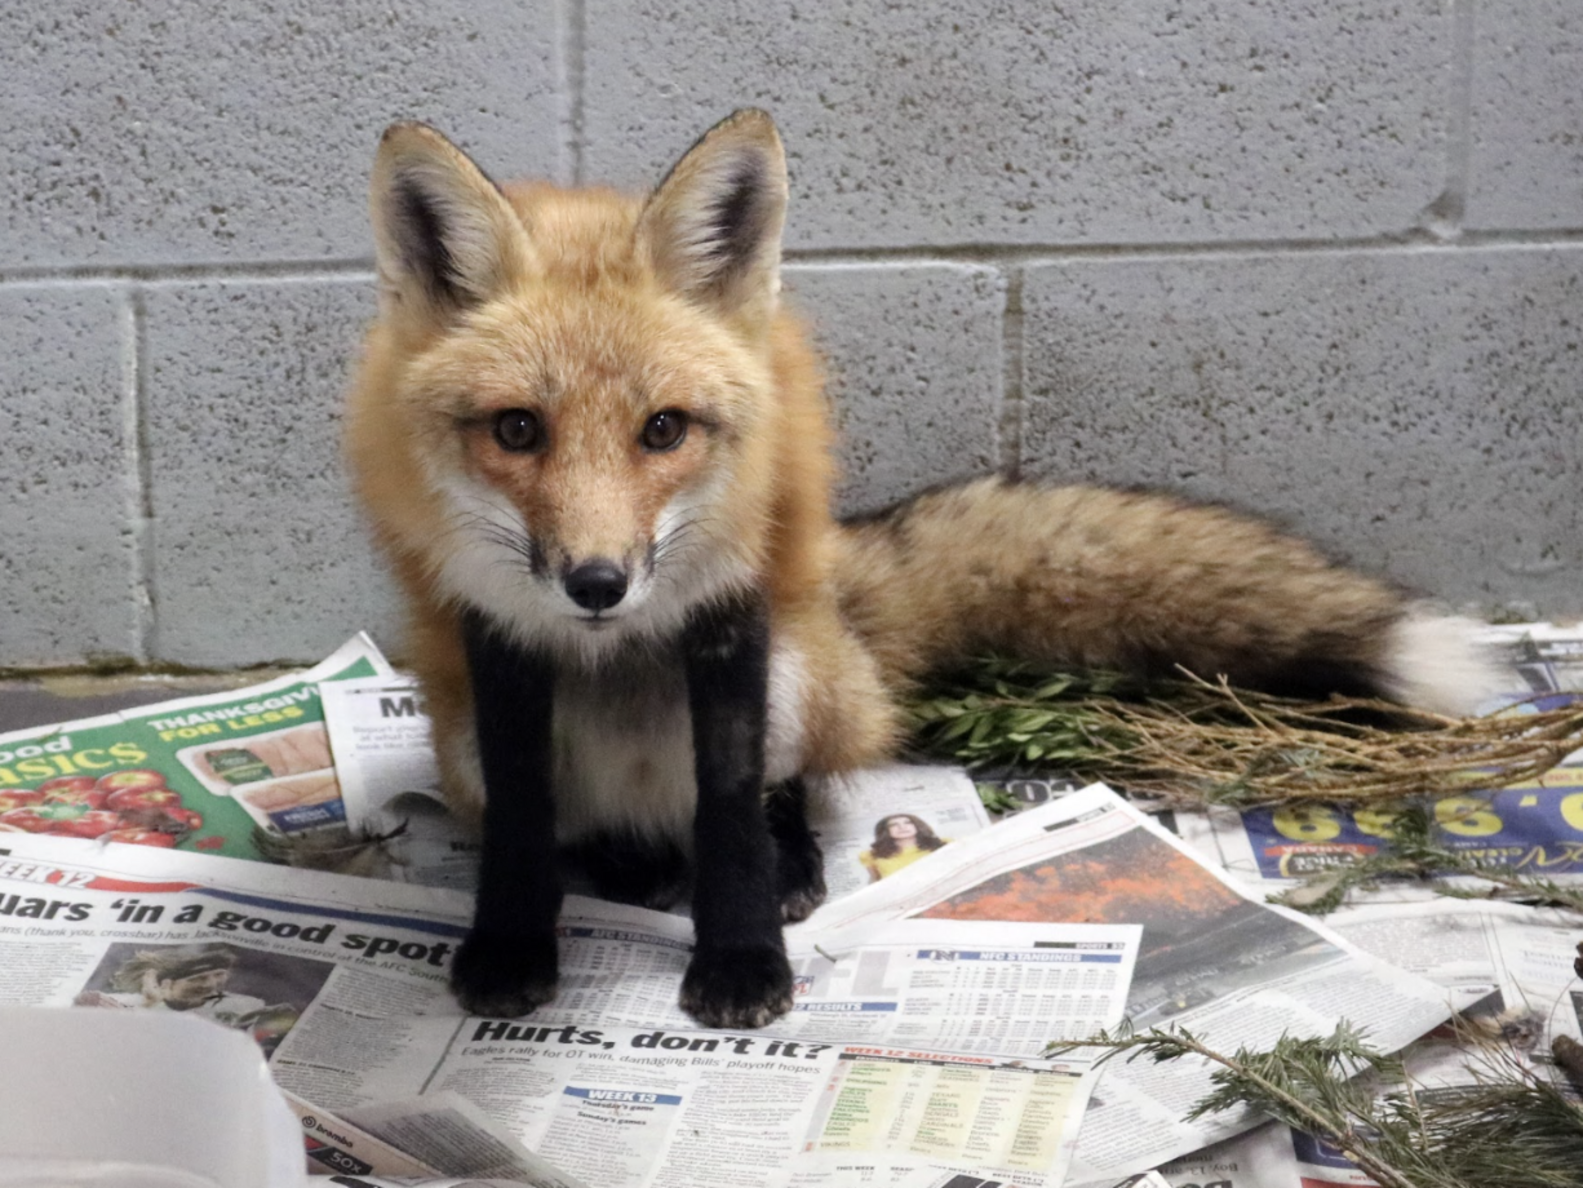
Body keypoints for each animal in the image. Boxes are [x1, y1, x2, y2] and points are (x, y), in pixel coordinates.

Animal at [344, 108, 1494, 1029]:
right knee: (583, 822)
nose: (595, 585)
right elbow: (525, 818)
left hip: (798, 675)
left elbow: (728, 808)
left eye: (662, 429)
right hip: (456, 734)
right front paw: (510, 945)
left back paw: (784, 867)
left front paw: (742, 954)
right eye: (516, 430)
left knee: (776, 789)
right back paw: (624, 865)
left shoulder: (732, 610)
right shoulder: (496, 629)